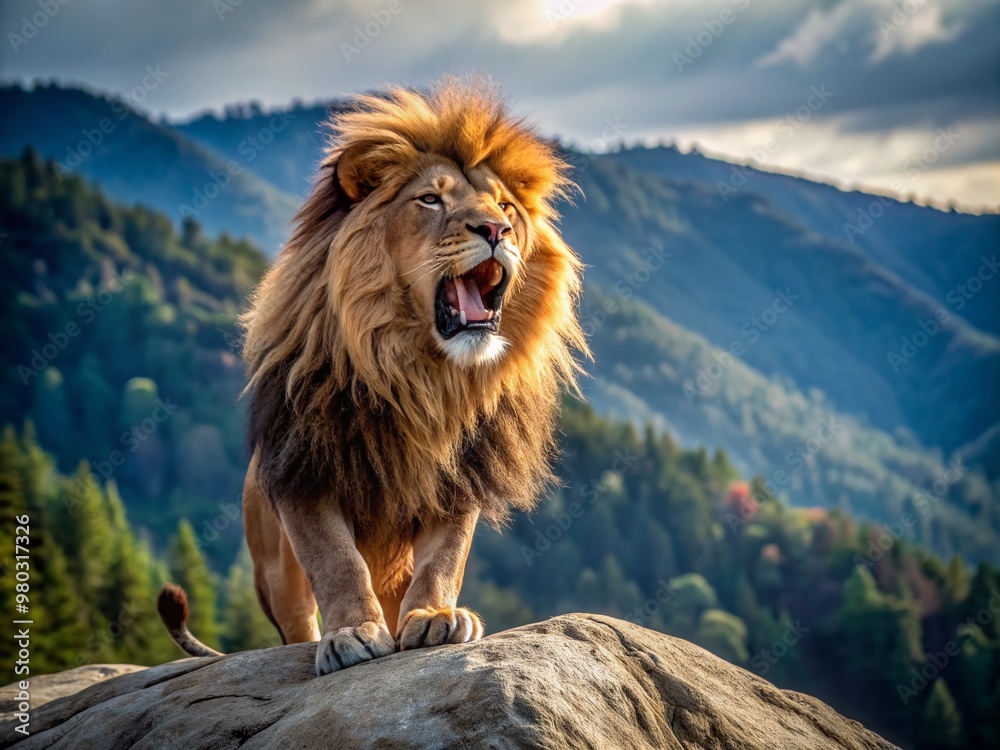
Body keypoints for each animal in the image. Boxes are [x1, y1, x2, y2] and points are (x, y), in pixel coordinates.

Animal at [158, 77, 588, 676]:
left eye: (504, 205)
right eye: (430, 199)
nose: (496, 230)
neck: (420, 371)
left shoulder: (459, 477)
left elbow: (444, 557)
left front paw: (435, 617)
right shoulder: (305, 467)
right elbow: (336, 560)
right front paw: (351, 634)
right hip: (272, 566)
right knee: (297, 618)